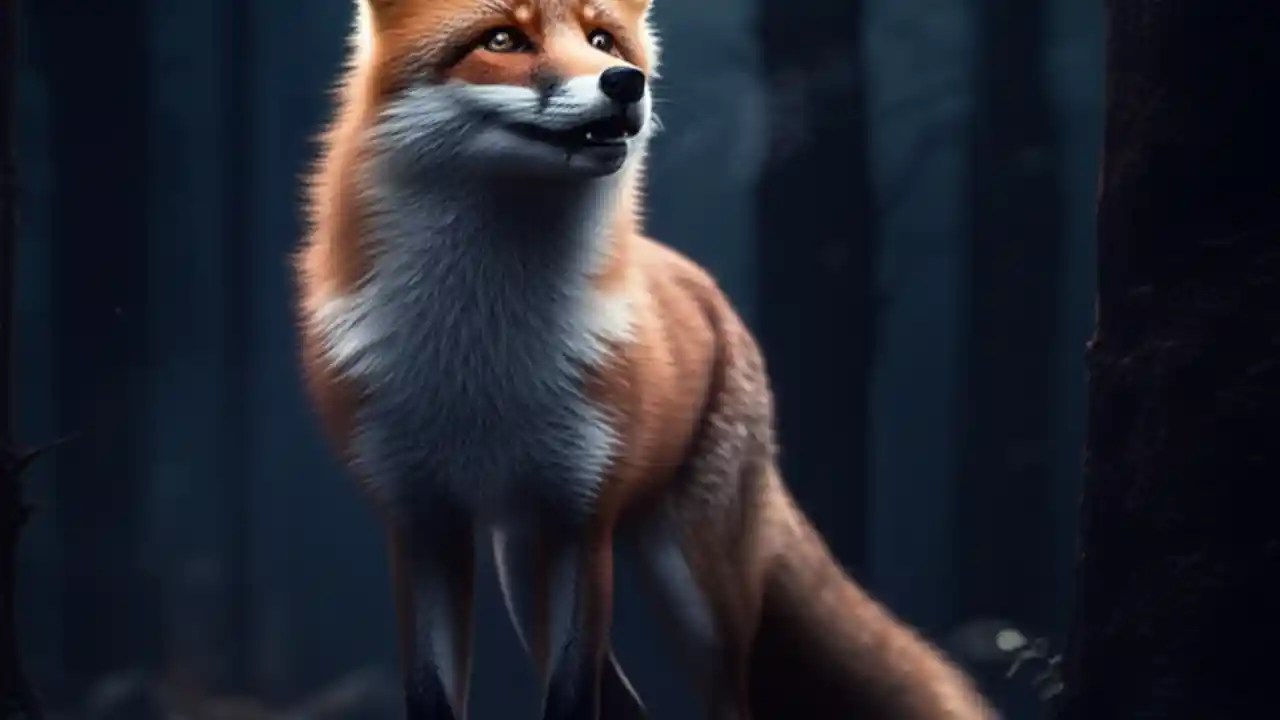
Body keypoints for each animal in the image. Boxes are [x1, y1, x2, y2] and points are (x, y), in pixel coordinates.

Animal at [296, 1, 997, 719]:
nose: (626, 82)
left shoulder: (584, 523)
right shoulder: (422, 523)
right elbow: (434, 694)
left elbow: (571, 700)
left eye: (602, 40)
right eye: (502, 39)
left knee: (727, 699)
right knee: (629, 701)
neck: (483, 354)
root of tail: (701, 281)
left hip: (693, 584)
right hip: (524, 569)